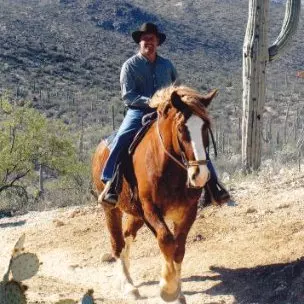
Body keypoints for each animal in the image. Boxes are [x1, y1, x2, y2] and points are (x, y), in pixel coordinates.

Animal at [91, 85, 217, 302]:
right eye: (181, 128)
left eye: (205, 126)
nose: (199, 175)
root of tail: (100, 148)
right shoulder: (150, 210)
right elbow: (166, 240)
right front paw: (168, 288)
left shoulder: (187, 211)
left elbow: (179, 248)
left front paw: (178, 291)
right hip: (112, 210)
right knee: (118, 244)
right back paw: (128, 286)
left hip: (136, 213)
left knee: (128, 236)